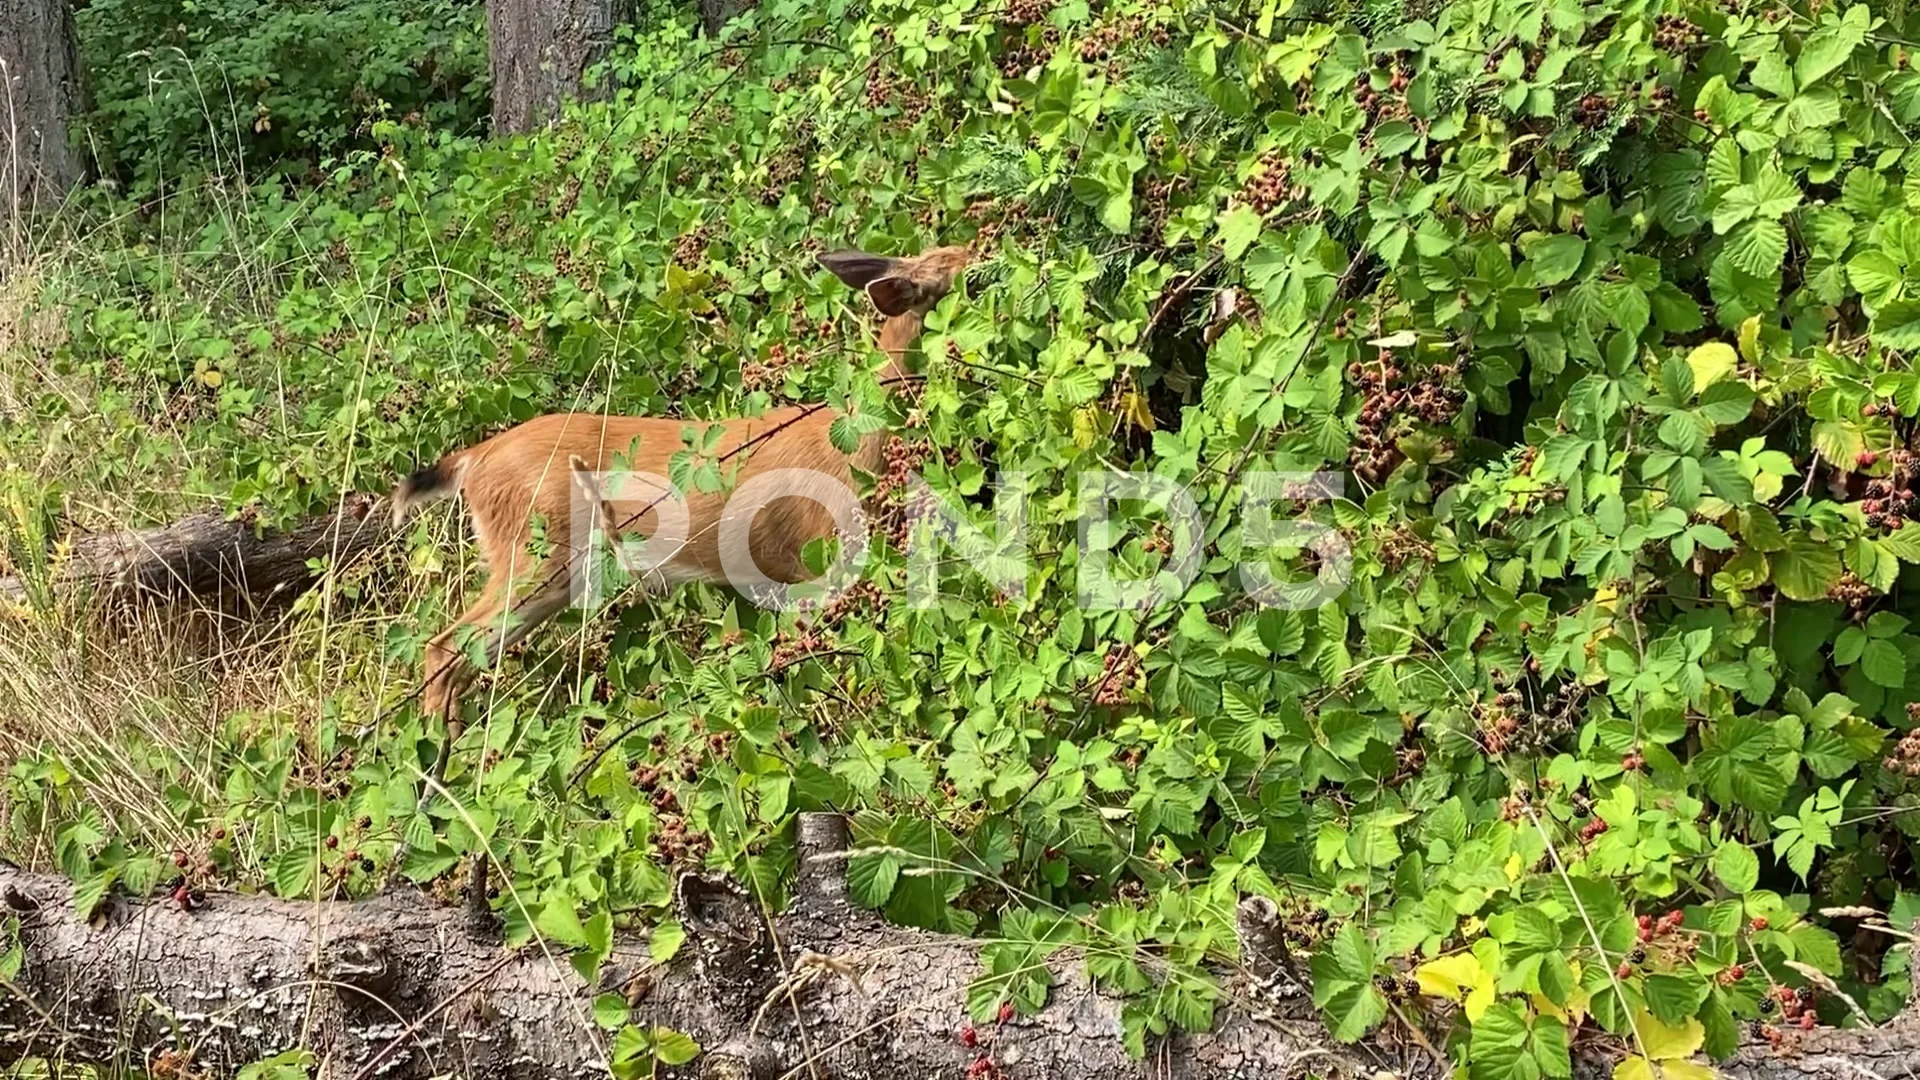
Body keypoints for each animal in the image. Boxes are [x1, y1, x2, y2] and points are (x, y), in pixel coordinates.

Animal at [390, 243, 972, 730]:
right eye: (960, 268)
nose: (980, 243)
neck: (855, 441)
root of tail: (474, 460)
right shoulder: (812, 561)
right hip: (533, 551)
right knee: (444, 647)